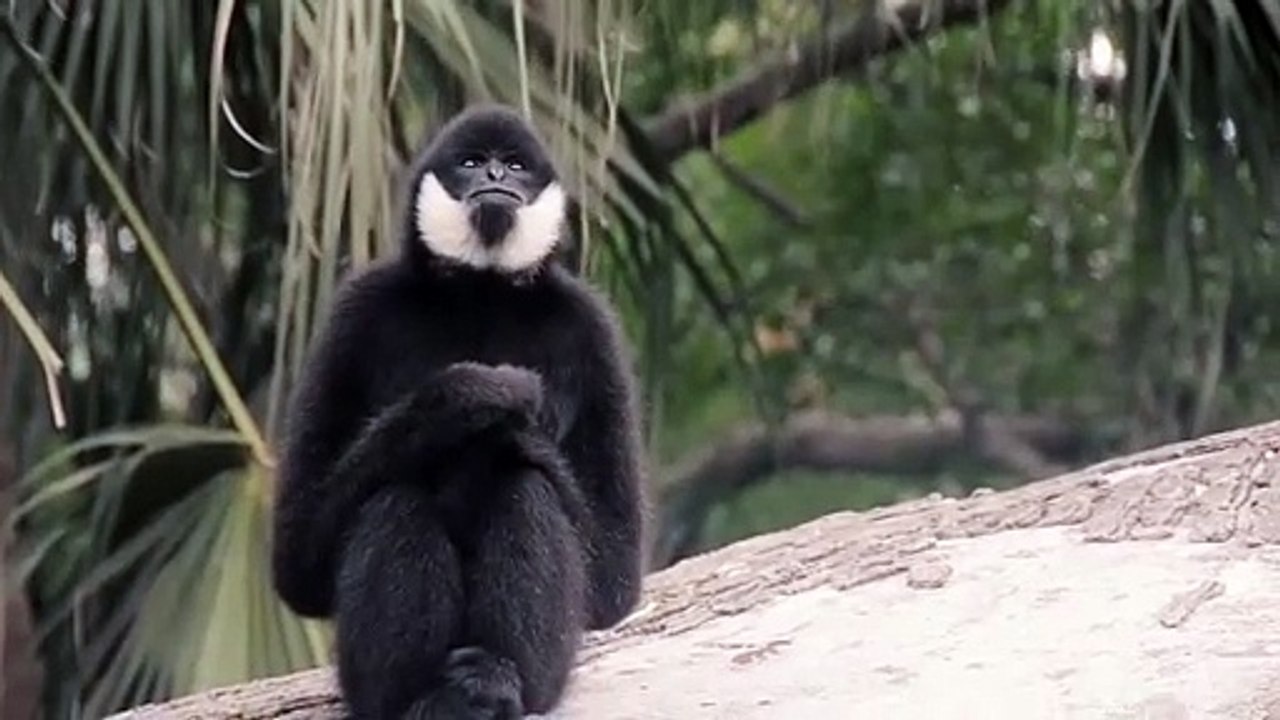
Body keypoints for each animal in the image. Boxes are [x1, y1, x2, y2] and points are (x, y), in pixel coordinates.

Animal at [270, 105, 647, 720]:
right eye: (471, 163)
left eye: (515, 166)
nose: (493, 177)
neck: (482, 288)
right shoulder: (353, 313)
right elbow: (298, 559)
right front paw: (474, 396)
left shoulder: (594, 331)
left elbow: (615, 576)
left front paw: (512, 419)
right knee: (395, 496)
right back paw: (416, 697)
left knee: (525, 485)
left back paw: (493, 679)